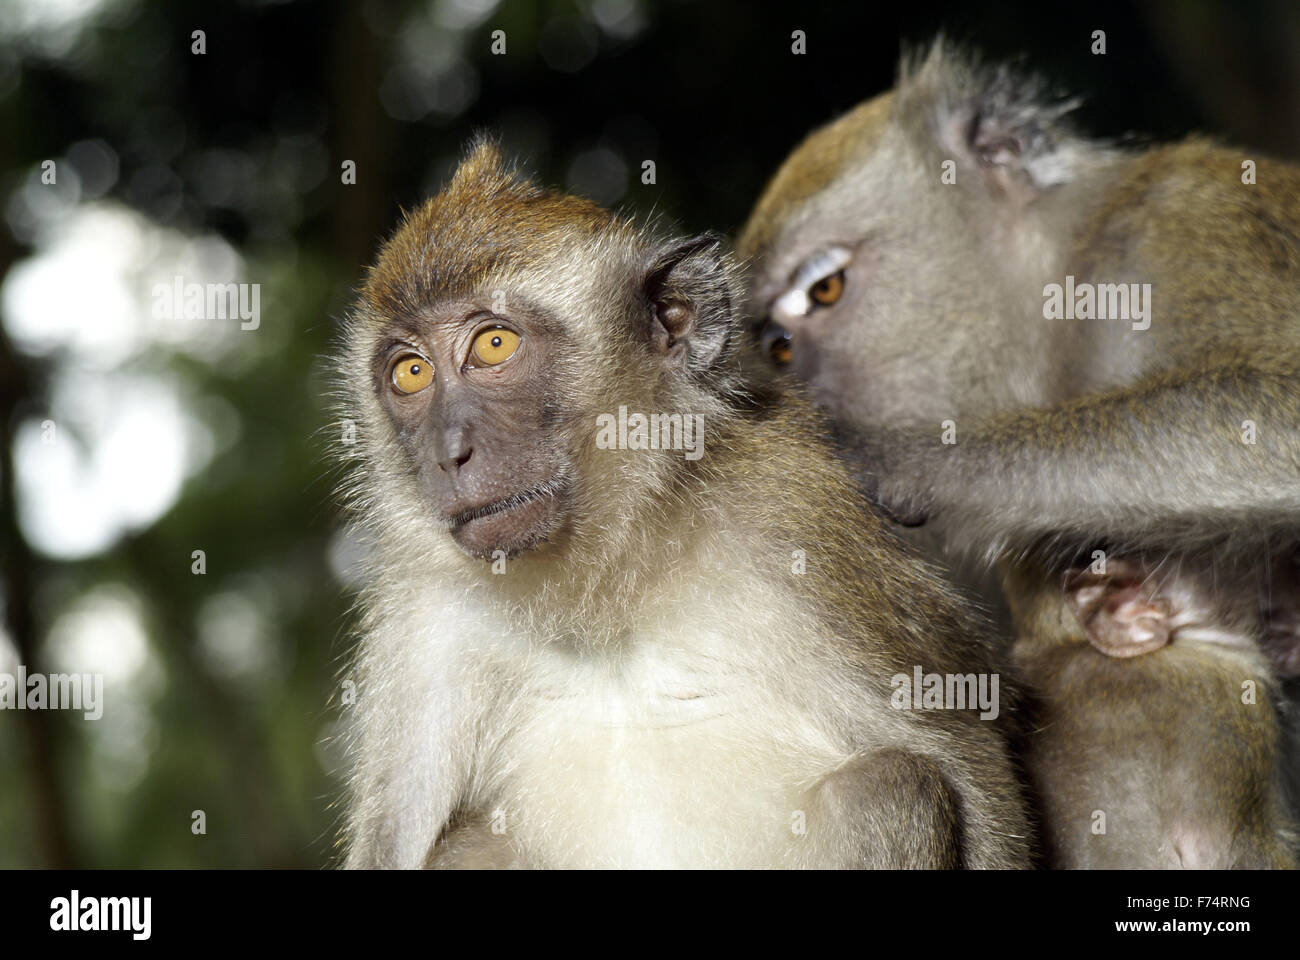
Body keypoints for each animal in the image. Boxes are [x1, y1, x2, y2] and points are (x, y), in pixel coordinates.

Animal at [333, 140, 1033, 869]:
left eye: (494, 345)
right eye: (410, 373)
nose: (449, 452)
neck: (609, 571)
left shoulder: (794, 513)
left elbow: (970, 769)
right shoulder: (424, 614)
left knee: (891, 787)